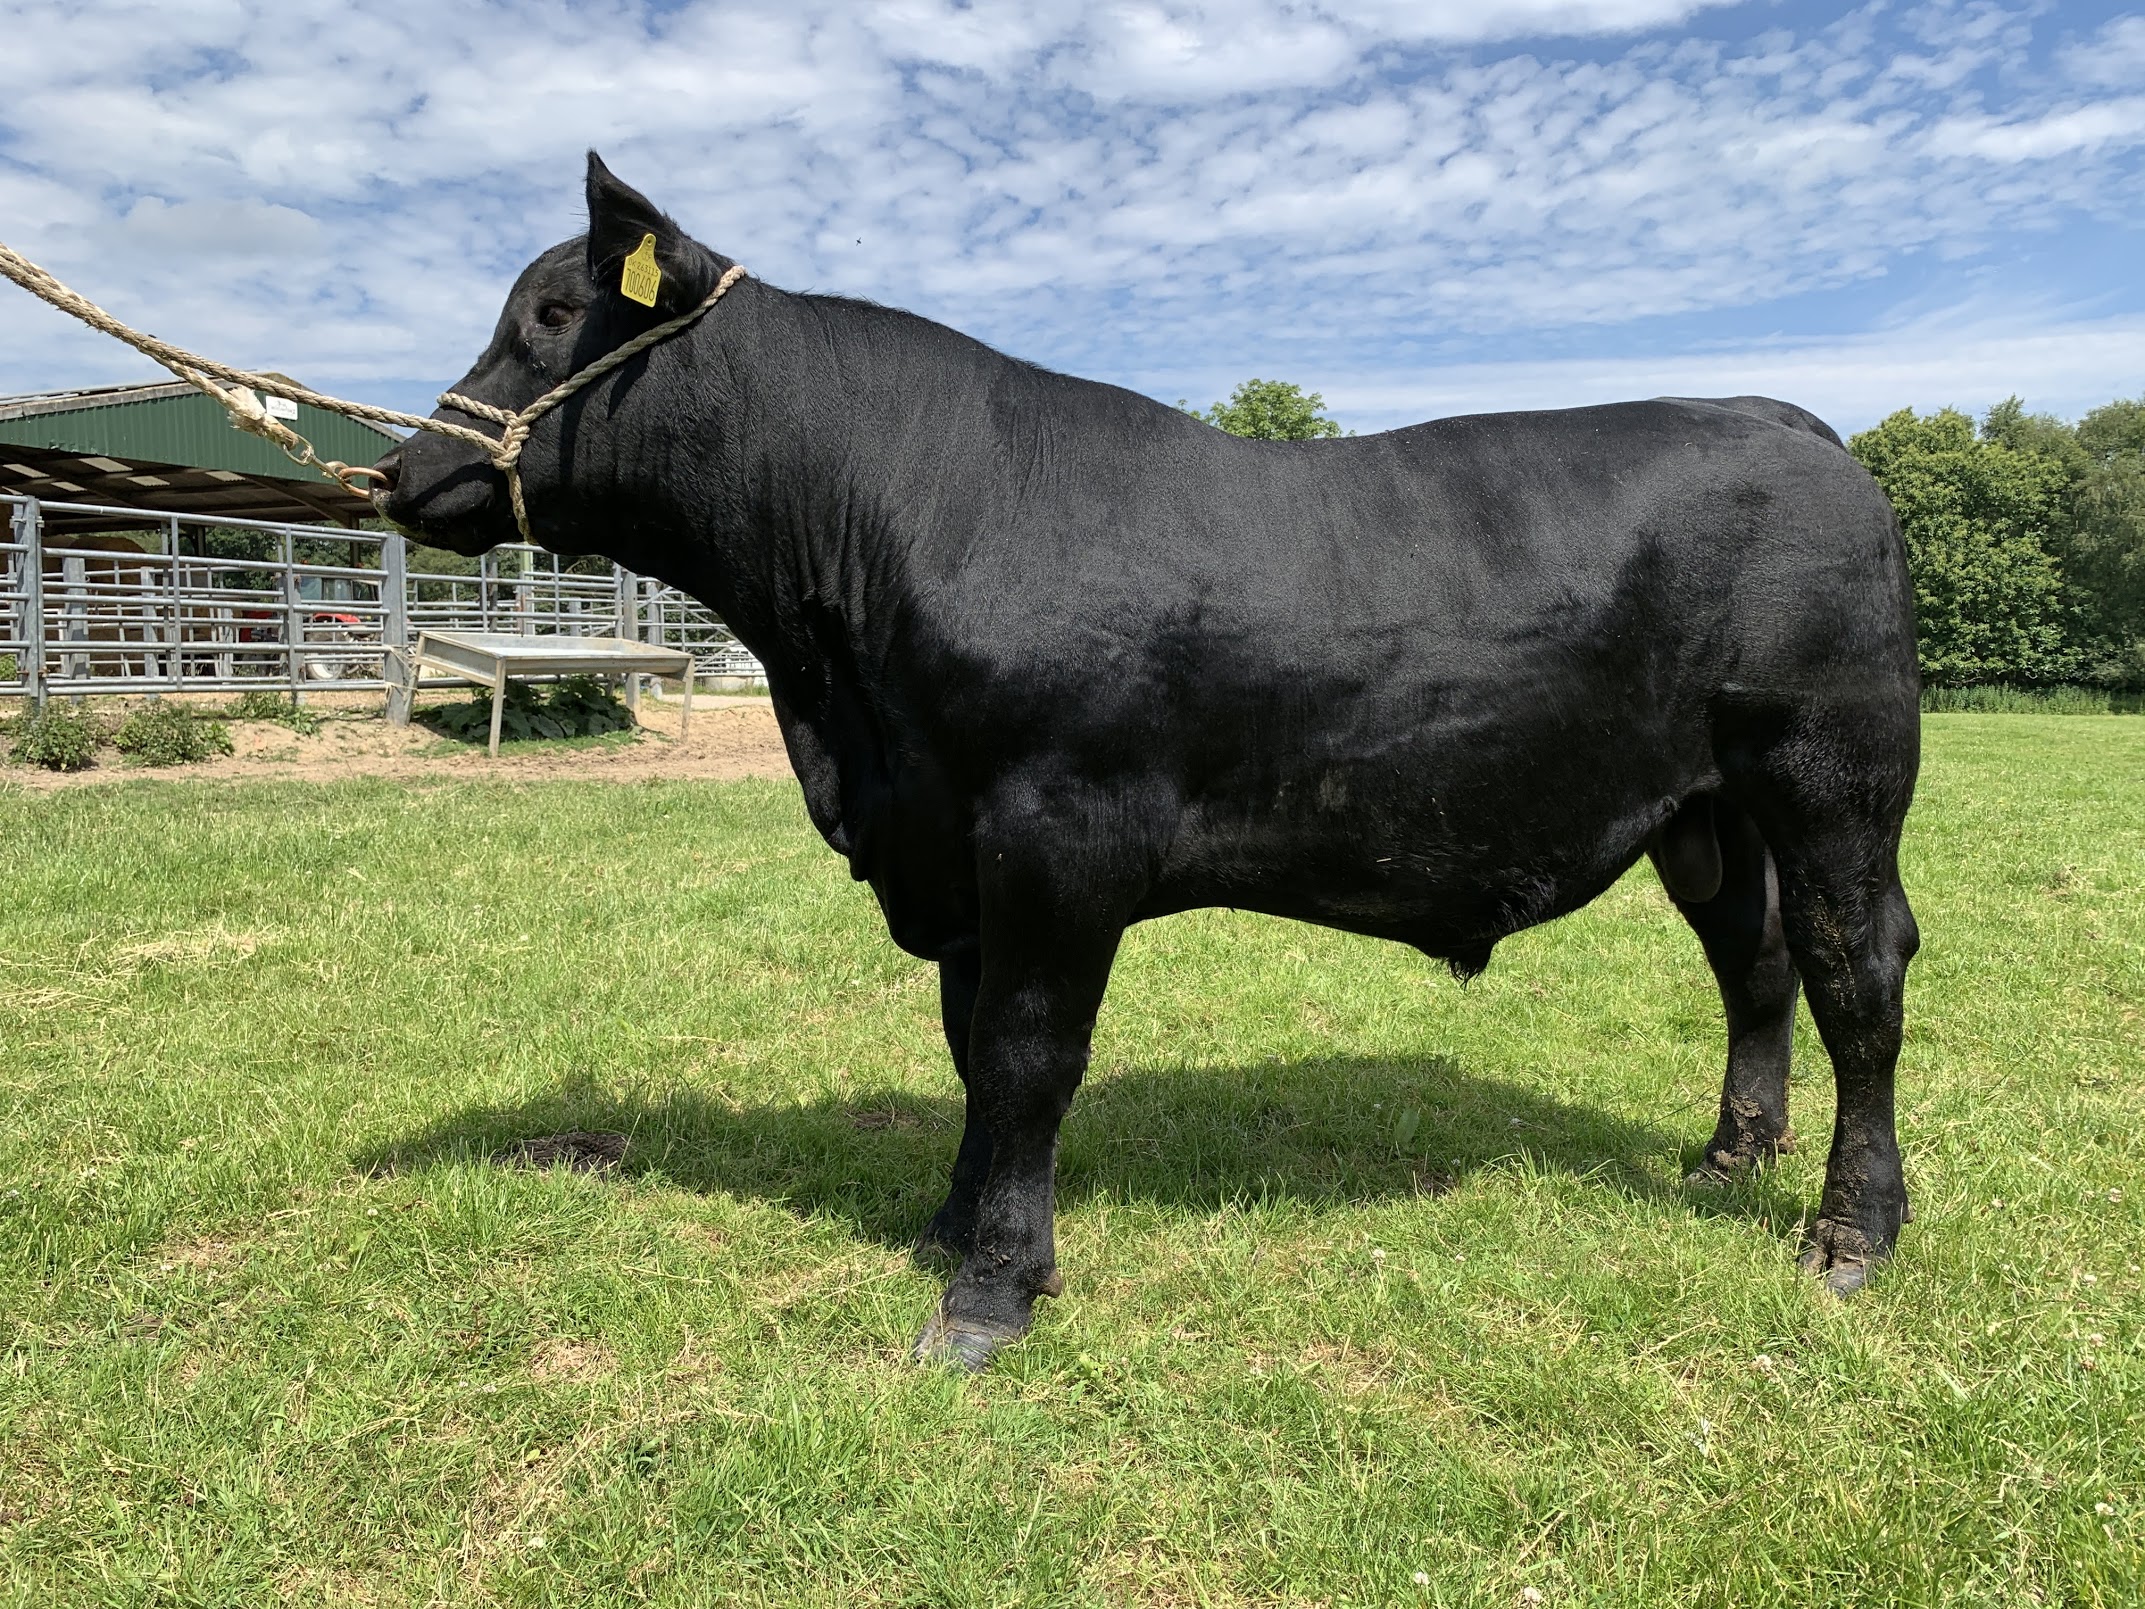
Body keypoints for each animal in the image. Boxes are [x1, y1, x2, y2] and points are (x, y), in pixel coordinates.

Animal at [373, 154, 1922, 1370]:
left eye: (553, 314)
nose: (398, 472)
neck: (844, 705)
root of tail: (1786, 420)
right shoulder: (952, 846)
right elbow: (967, 1045)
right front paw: (951, 1224)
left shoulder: (1054, 833)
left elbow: (1026, 1049)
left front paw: (990, 1293)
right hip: (1706, 807)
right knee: (1755, 963)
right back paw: (1730, 1157)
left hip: (1831, 770)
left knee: (1856, 970)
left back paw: (1849, 1232)